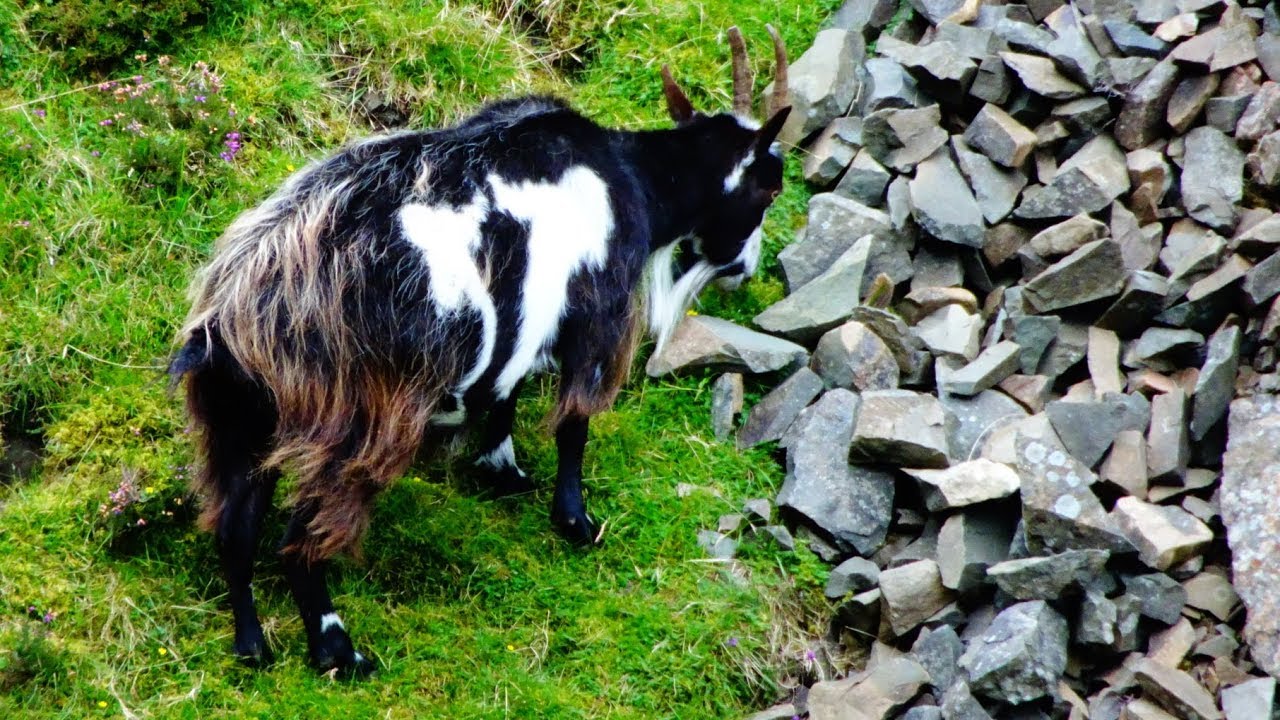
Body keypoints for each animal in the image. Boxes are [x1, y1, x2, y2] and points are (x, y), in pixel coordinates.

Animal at [170, 26, 791, 675]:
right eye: (770, 184)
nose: (744, 269)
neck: (629, 177)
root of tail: (236, 312)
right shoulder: (598, 314)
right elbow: (574, 422)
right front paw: (575, 520)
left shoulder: (517, 326)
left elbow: (504, 390)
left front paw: (502, 467)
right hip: (357, 416)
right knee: (300, 537)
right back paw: (338, 651)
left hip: (242, 417)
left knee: (235, 526)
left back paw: (252, 646)